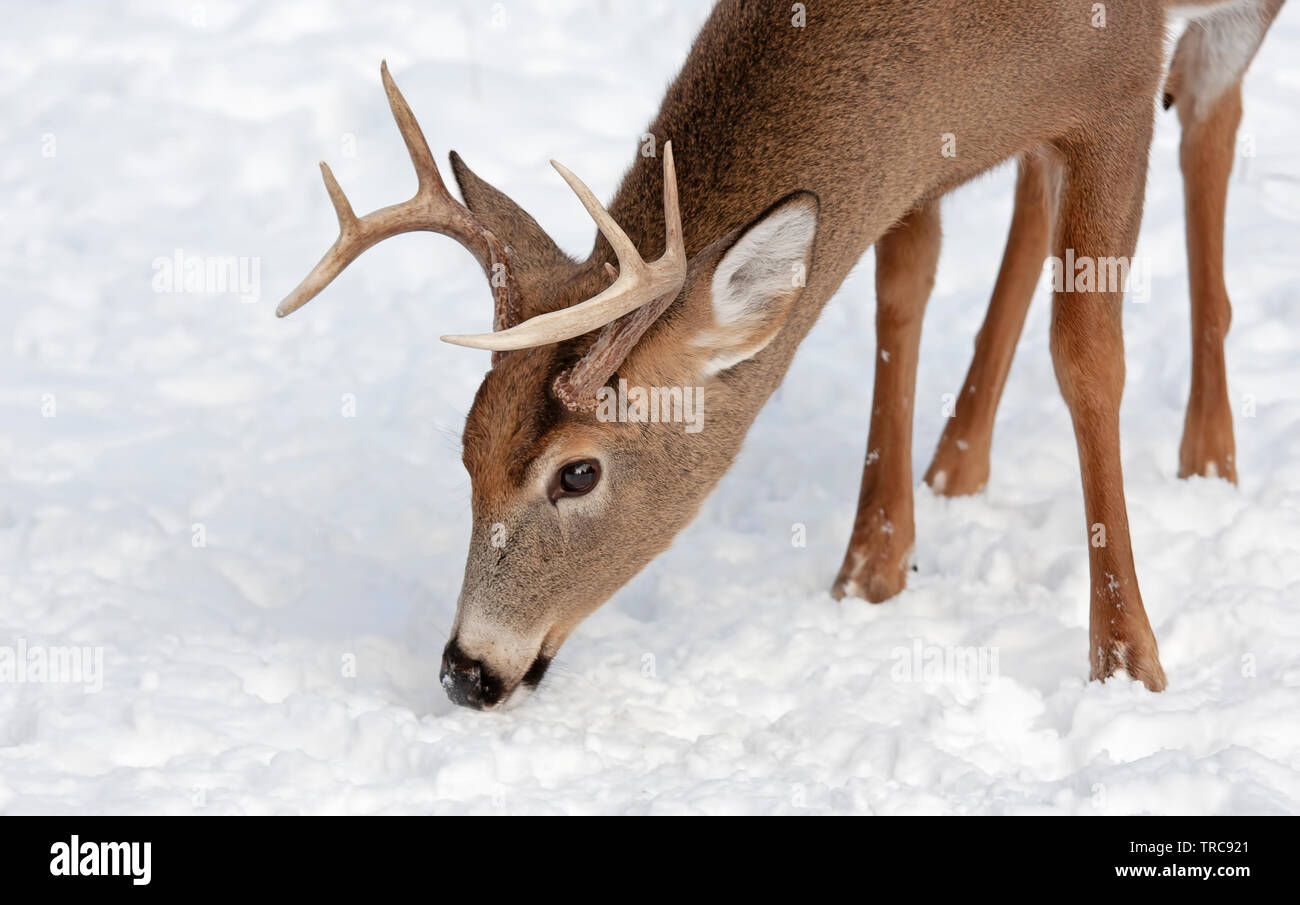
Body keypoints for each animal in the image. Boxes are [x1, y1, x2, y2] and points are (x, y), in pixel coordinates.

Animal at [275, 0, 1274, 709]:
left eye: (578, 472)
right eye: (467, 449)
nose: (466, 670)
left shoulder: (1118, 86)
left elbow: (1087, 358)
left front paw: (1128, 661)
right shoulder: (926, 155)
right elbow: (900, 298)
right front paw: (871, 572)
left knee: (1212, 122)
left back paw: (1211, 456)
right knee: (1044, 188)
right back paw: (959, 462)